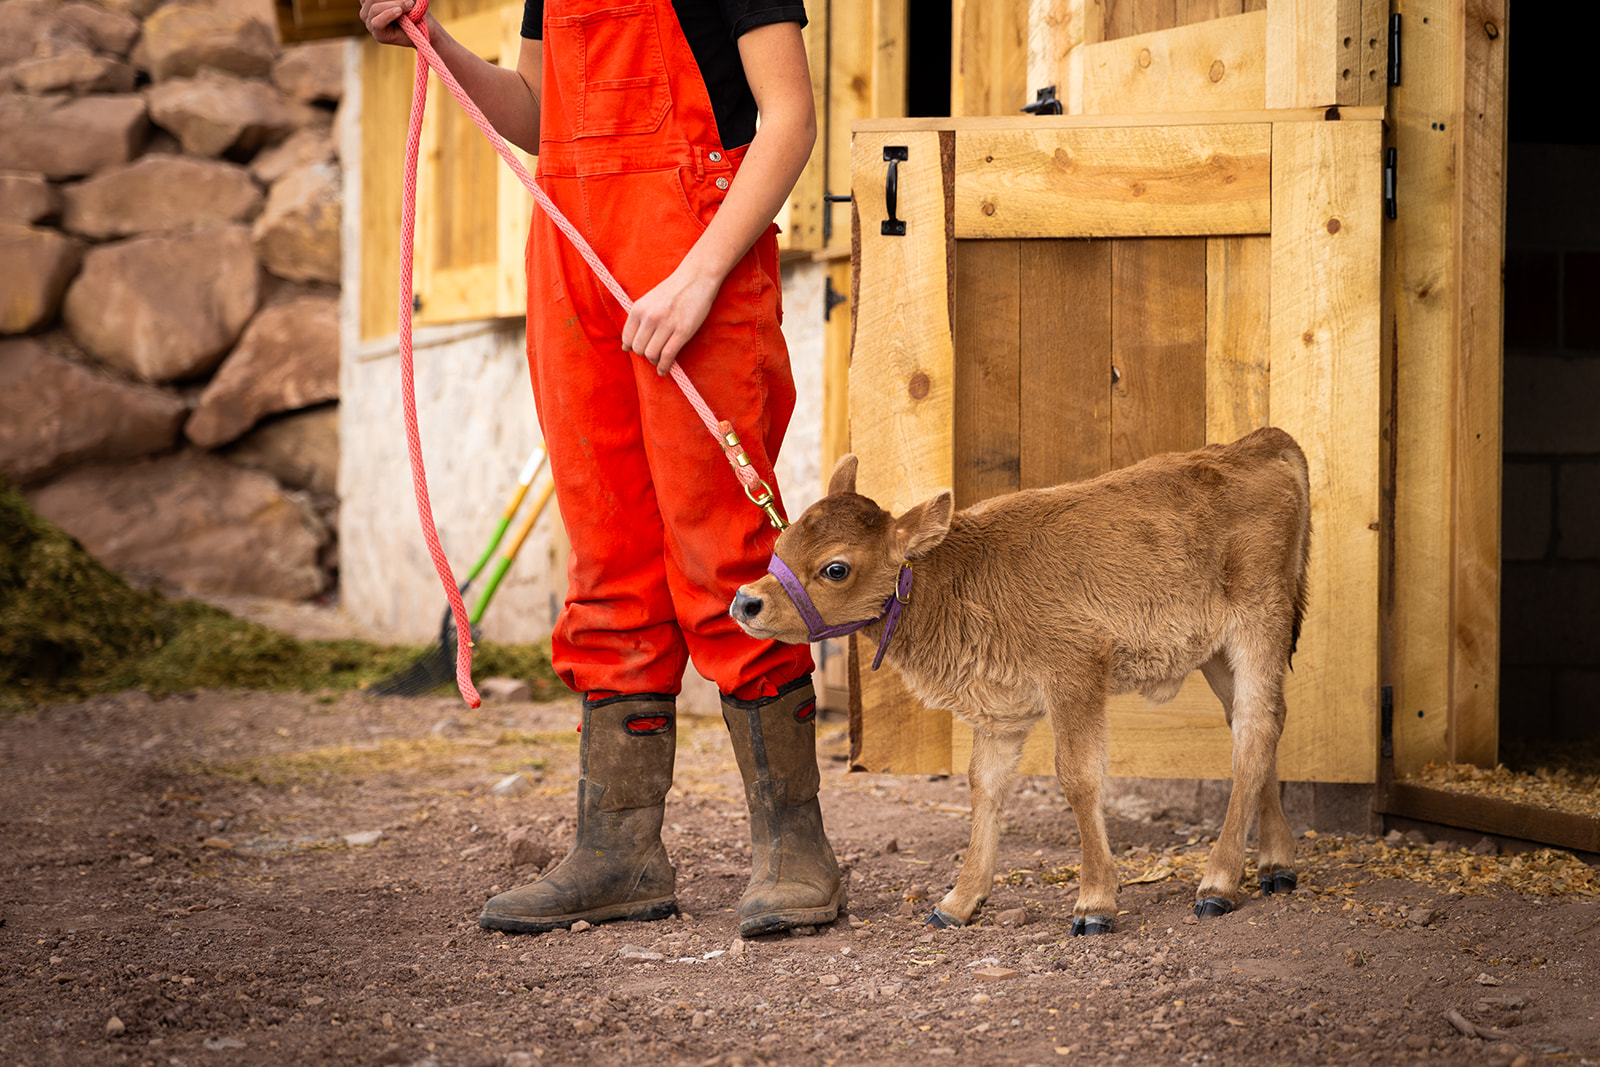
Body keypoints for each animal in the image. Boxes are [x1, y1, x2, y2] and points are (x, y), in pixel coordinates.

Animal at [729, 427, 1312, 934]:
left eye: (836, 568)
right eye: (781, 543)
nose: (745, 601)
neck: (957, 579)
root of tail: (1259, 443)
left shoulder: (1074, 671)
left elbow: (1078, 777)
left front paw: (1095, 902)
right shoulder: (998, 709)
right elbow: (984, 786)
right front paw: (959, 901)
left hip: (1259, 621)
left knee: (1254, 732)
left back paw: (1218, 883)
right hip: (1217, 652)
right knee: (1260, 724)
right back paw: (1275, 864)